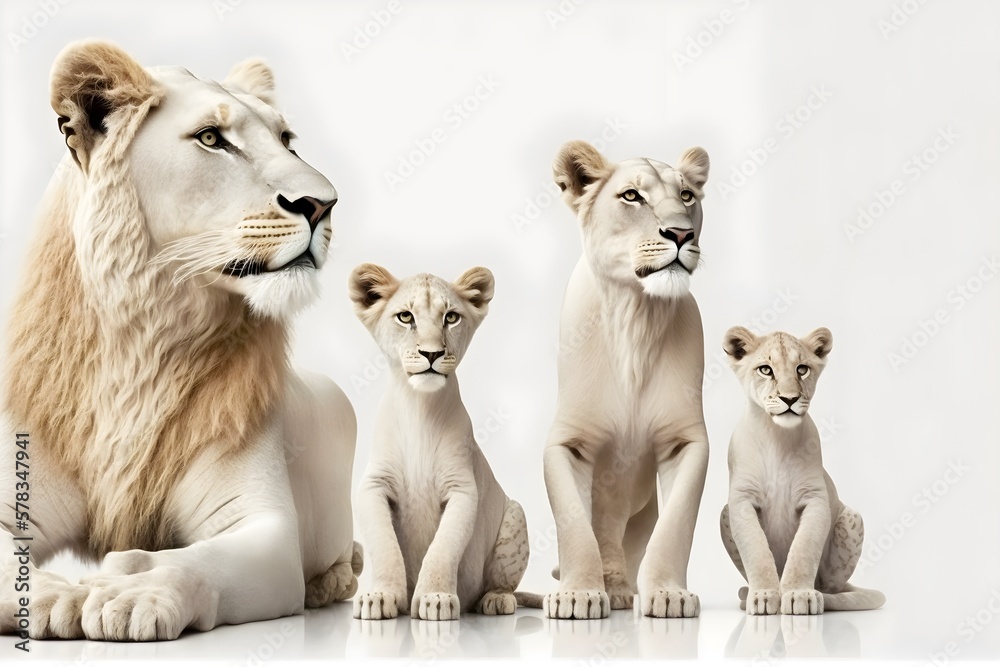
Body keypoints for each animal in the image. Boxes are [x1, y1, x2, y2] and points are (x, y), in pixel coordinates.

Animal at [0, 40, 360, 641]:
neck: (143, 335)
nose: (324, 205)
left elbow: (196, 562)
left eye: (287, 140)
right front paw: (50, 593)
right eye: (212, 138)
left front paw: (131, 589)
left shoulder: (262, 526)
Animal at [348, 264, 533, 621]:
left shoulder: (463, 488)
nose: (431, 353)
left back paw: (495, 600)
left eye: (451, 317)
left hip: (515, 514)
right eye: (405, 317)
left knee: (501, 585)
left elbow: (443, 547)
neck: (420, 405)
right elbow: (384, 545)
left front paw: (435, 598)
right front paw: (380, 596)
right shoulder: (373, 484)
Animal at [542, 140, 711, 619]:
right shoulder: (568, 443)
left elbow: (676, 527)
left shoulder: (686, 441)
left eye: (687, 196)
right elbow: (575, 529)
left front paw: (670, 595)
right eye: (632, 196)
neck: (637, 317)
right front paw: (578, 595)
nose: (681, 235)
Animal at [720, 326, 885, 614]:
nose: (790, 399)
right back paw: (748, 593)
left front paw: (800, 595)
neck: (777, 436)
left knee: (833, 589)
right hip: (724, 514)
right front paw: (764, 595)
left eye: (802, 369)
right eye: (765, 369)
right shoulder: (740, 500)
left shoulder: (815, 497)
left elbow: (804, 549)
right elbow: (756, 550)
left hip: (851, 518)